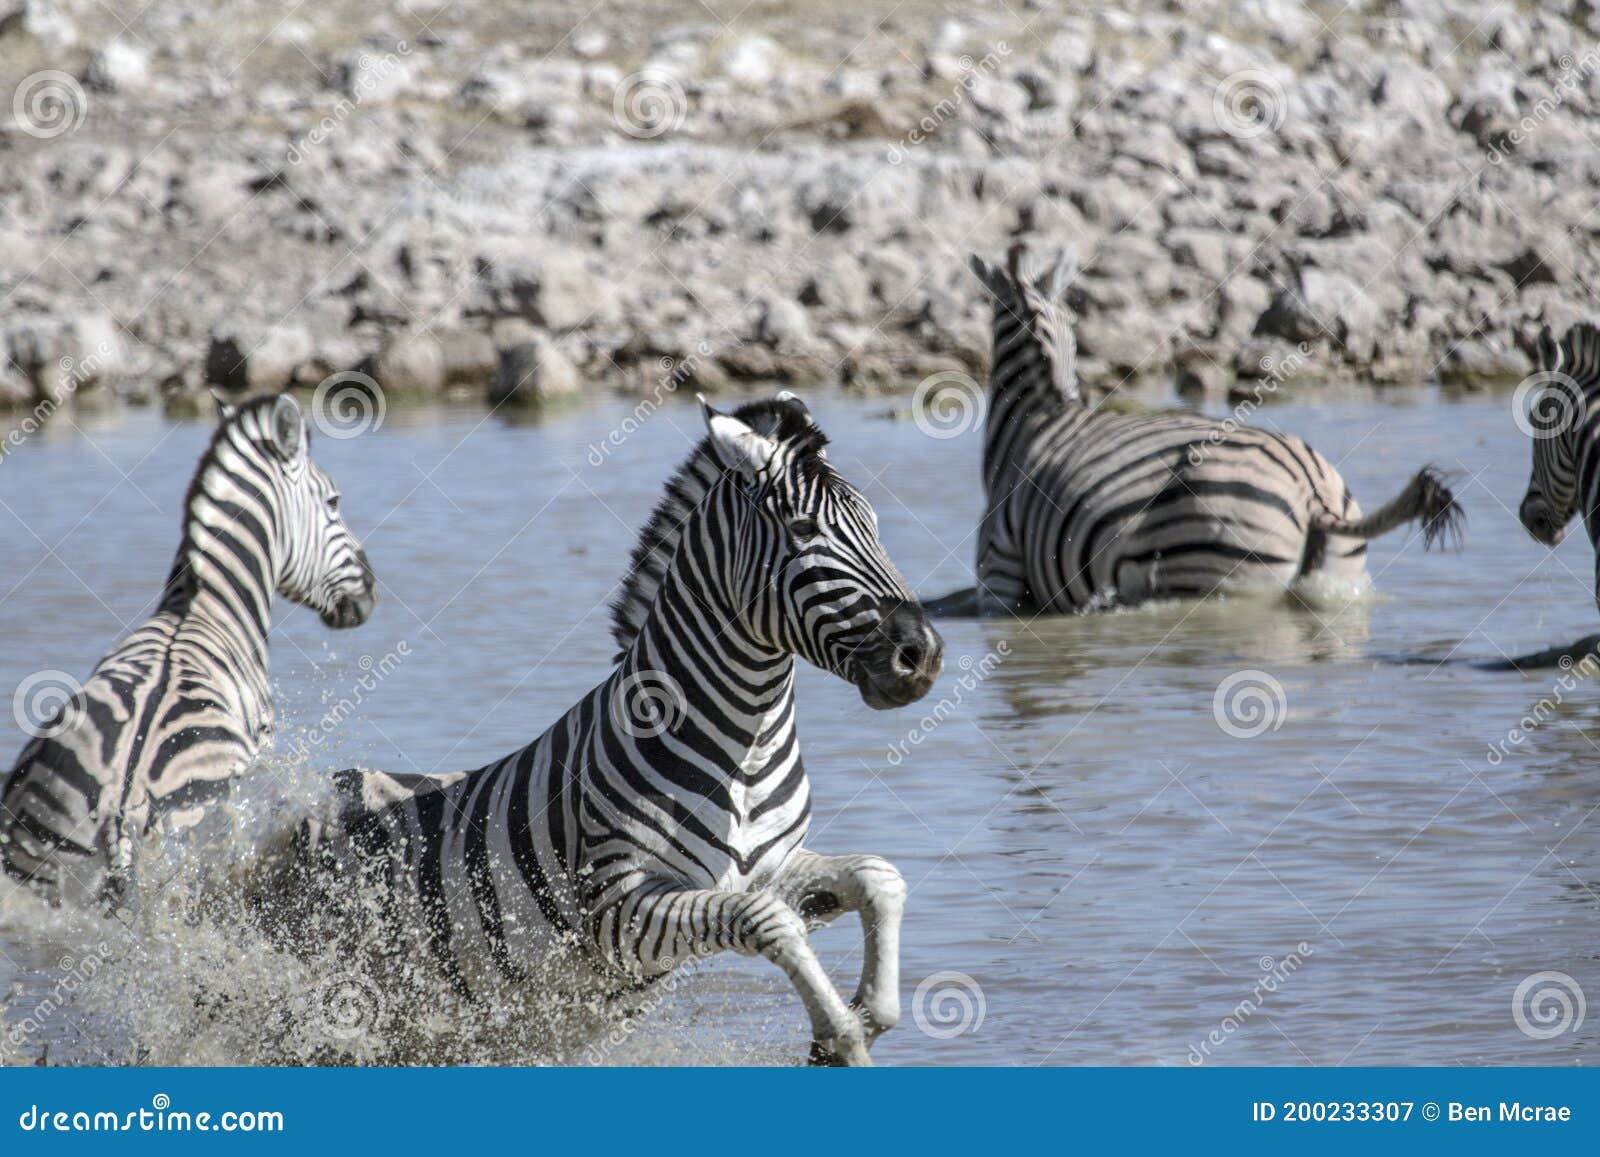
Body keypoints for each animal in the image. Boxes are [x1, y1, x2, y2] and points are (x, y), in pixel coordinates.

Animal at [1, 392, 377, 907]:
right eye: (333, 502)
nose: (370, 590)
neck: (204, 607)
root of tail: (121, 805)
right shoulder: (262, 742)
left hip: (41, 862)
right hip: (202, 851)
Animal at [260, 394, 943, 1065]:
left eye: (875, 526)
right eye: (804, 531)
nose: (923, 654)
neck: (743, 749)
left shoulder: (776, 865)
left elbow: (880, 877)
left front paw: (869, 1012)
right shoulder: (617, 909)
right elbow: (771, 920)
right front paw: (840, 1036)